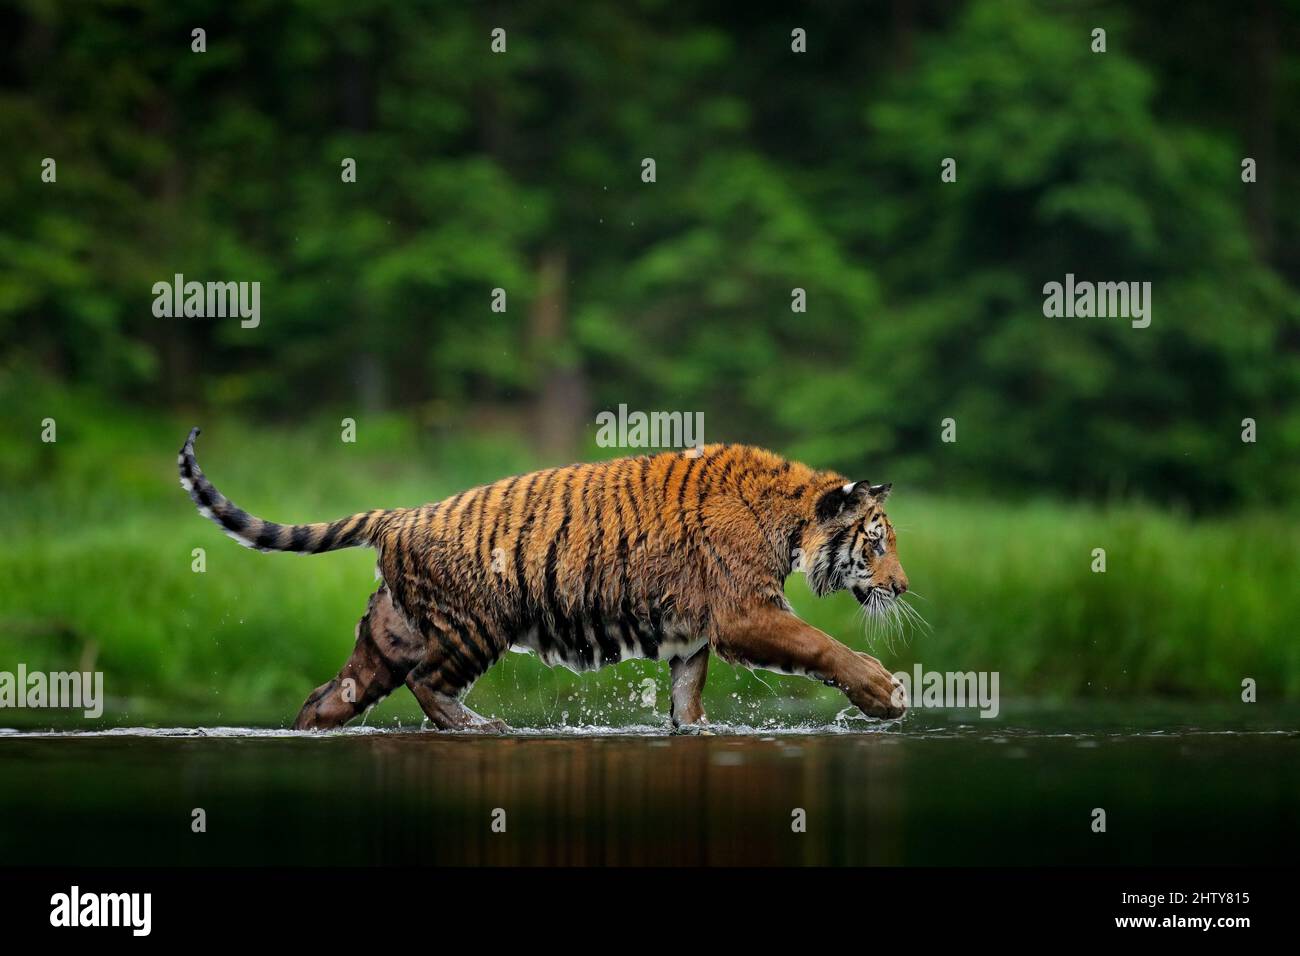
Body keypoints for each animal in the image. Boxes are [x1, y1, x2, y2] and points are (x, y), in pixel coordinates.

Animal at [178, 427, 910, 732]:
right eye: (876, 543)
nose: (902, 587)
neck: (791, 518)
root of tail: (401, 513)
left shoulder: (695, 636)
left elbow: (687, 702)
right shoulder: (744, 613)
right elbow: (821, 646)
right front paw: (885, 693)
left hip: (387, 637)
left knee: (327, 697)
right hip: (474, 627)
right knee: (428, 685)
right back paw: (483, 730)